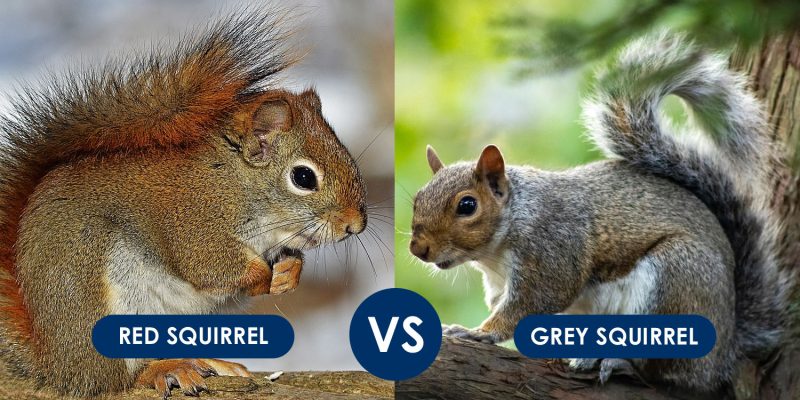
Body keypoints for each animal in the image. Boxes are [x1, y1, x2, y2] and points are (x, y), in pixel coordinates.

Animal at [0, 11, 367, 398]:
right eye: (304, 177)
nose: (355, 224)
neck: (234, 183)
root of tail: (56, 364)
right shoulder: (193, 221)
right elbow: (208, 265)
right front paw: (264, 275)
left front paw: (288, 273)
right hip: (97, 304)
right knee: (117, 379)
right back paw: (163, 369)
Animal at [409, 32, 790, 392]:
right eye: (417, 199)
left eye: (467, 205)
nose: (418, 248)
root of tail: (725, 351)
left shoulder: (554, 250)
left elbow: (531, 303)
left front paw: (480, 332)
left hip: (675, 282)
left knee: (665, 370)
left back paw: (619, 362)